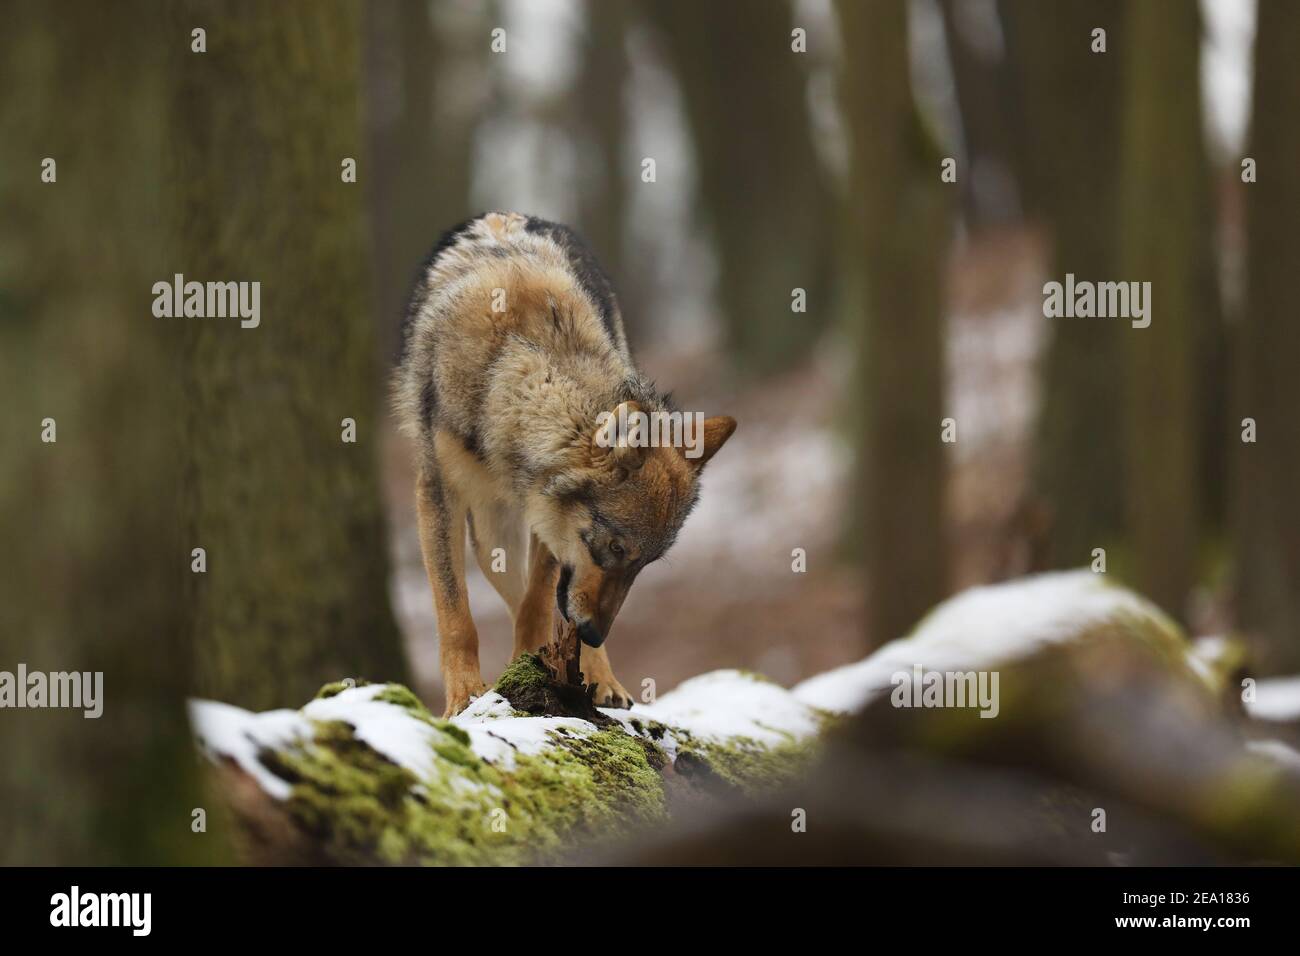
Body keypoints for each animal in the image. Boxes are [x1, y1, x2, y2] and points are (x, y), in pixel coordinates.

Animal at [393, 212, 735, 716]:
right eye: (615, 547)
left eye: (642, 564)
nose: (594, 632)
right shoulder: (436, 495)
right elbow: (457, 616)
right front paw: (464, 698)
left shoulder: (549, 520)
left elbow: (536, 603)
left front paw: (529, 673)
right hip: (490, 539)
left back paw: (600, 679)